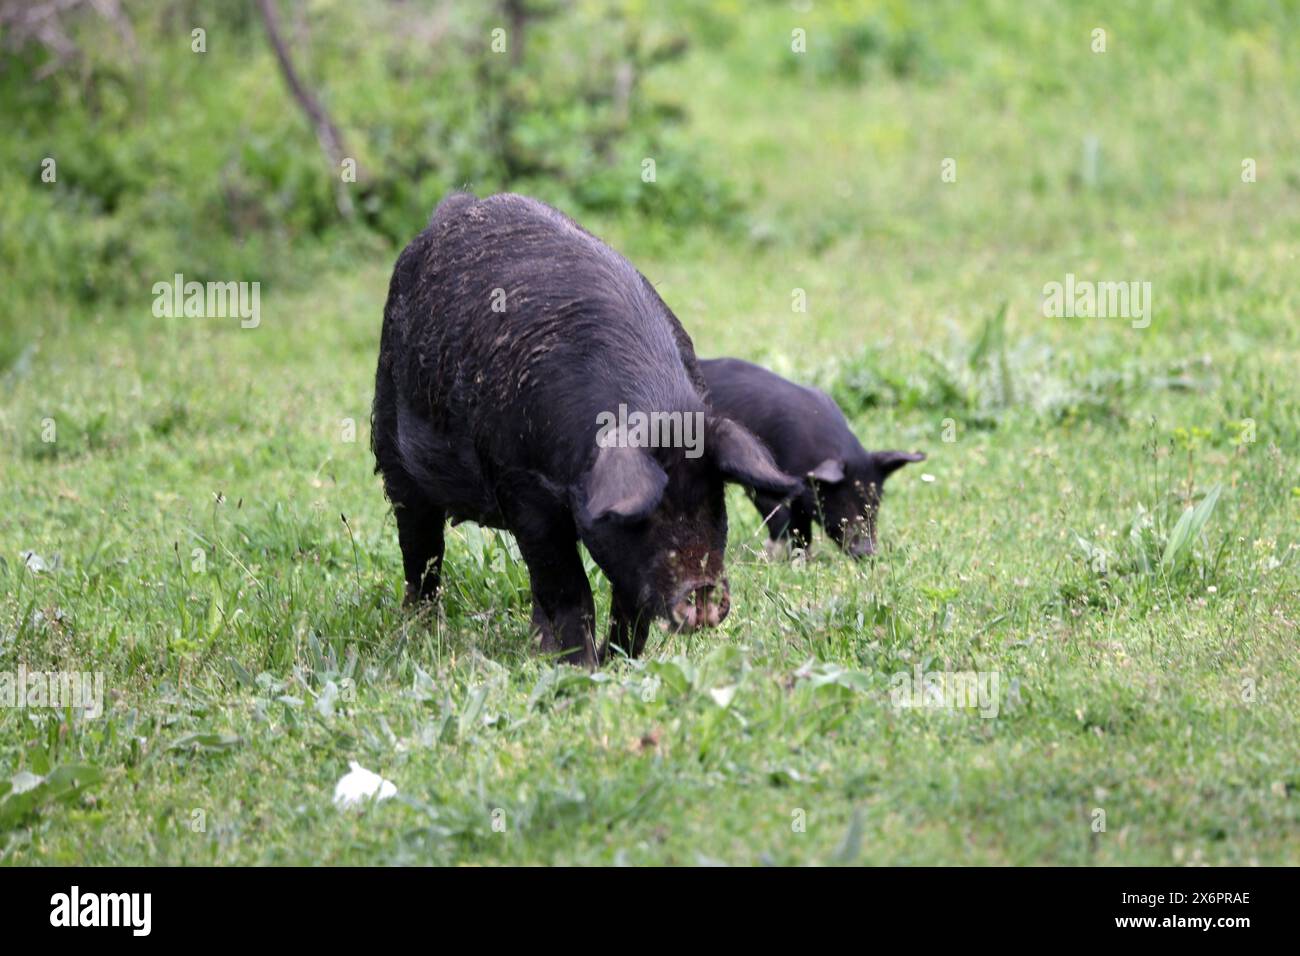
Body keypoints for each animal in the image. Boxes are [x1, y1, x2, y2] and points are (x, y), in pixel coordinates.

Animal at [372, 193, 800, 666]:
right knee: (420, 549)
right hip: (390, 438)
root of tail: (455, 203)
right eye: (650, 514)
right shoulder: (522, 487)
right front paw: (582, 667)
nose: (702, 591)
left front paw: (618, 662)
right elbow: (570, 590)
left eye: (714, 501)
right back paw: (422, 631)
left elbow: (627, 600)